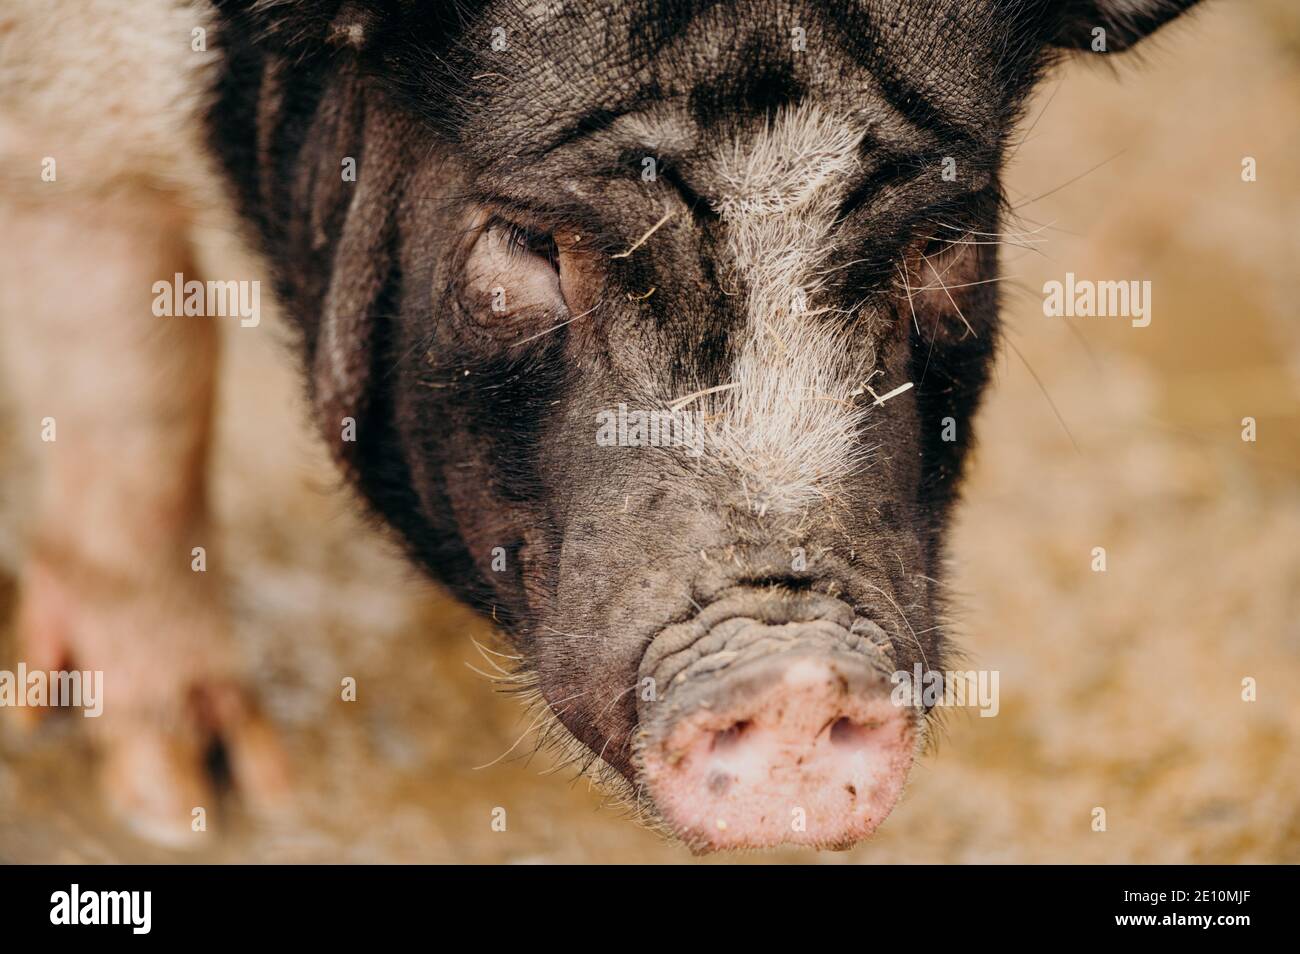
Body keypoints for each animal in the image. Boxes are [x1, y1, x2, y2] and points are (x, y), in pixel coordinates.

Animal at [0, 0, 1203, 851]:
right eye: (528, 242)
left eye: (946, 239)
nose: (796, 675)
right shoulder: (65, 137)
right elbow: (143, 377)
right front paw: (201, 802)